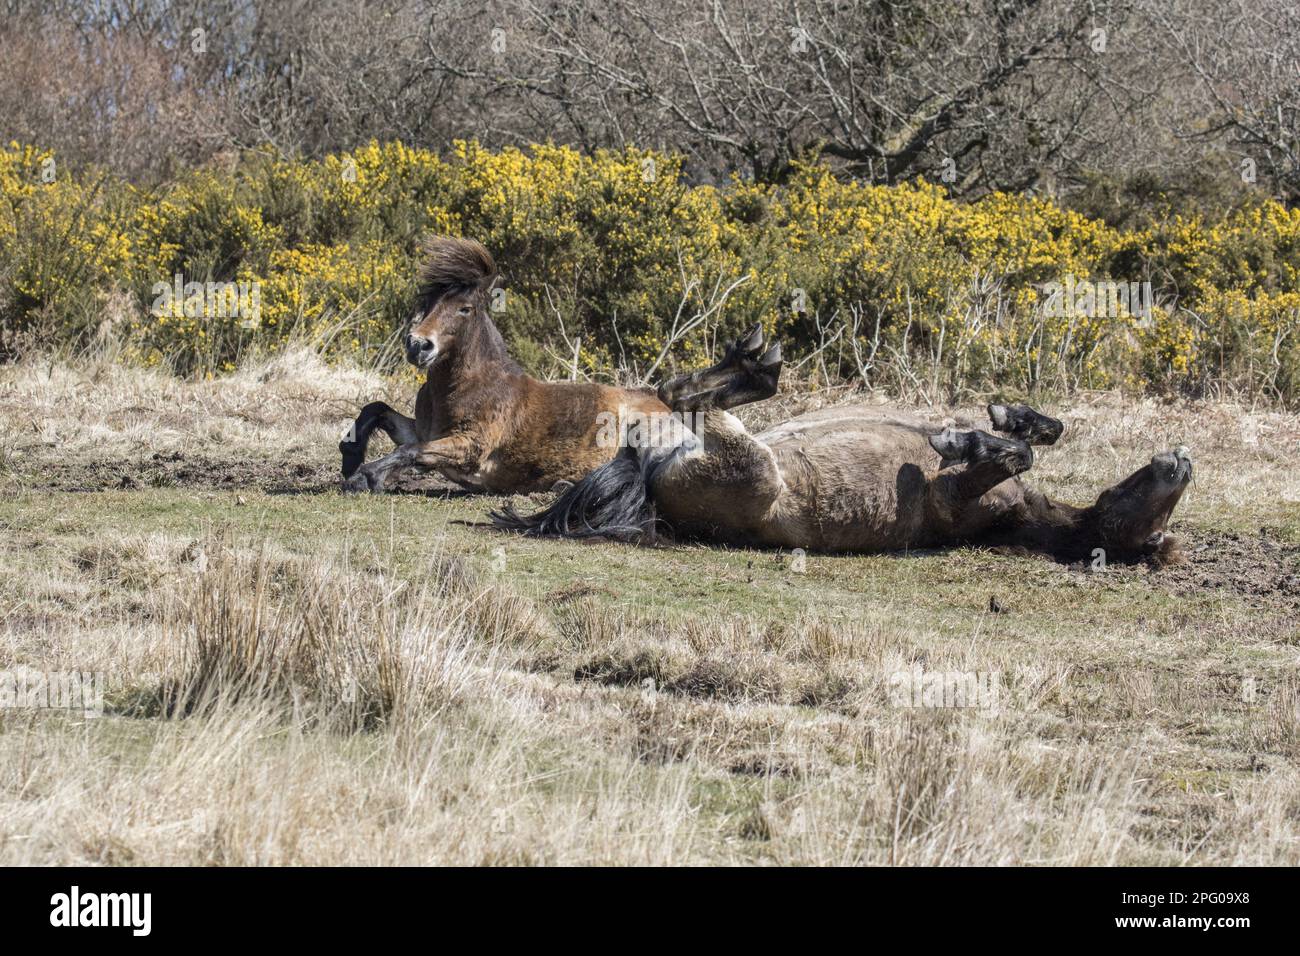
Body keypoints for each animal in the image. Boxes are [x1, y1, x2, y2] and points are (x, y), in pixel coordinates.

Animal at [341, 237, 668, 493]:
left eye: (465, 309)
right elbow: (379, 410)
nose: (418, 345)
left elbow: (411, 450)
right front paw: (351, 456)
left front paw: (365, 477)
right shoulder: (424, 431)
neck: (468, 385)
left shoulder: (469, 446)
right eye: (428, 301)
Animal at [493, 325, 1193, 565]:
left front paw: (968, 441)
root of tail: (653, 484)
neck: (1031, 517)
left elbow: (1008, 457)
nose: (1181, 462)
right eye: (1153, 501)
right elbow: (1036, 436)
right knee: (680, 394)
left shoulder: (959, 506)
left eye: (1151, 523)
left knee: (682, 391)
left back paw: (751, 367)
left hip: (749, 467)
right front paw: (1001, 419)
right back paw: (751, 361)